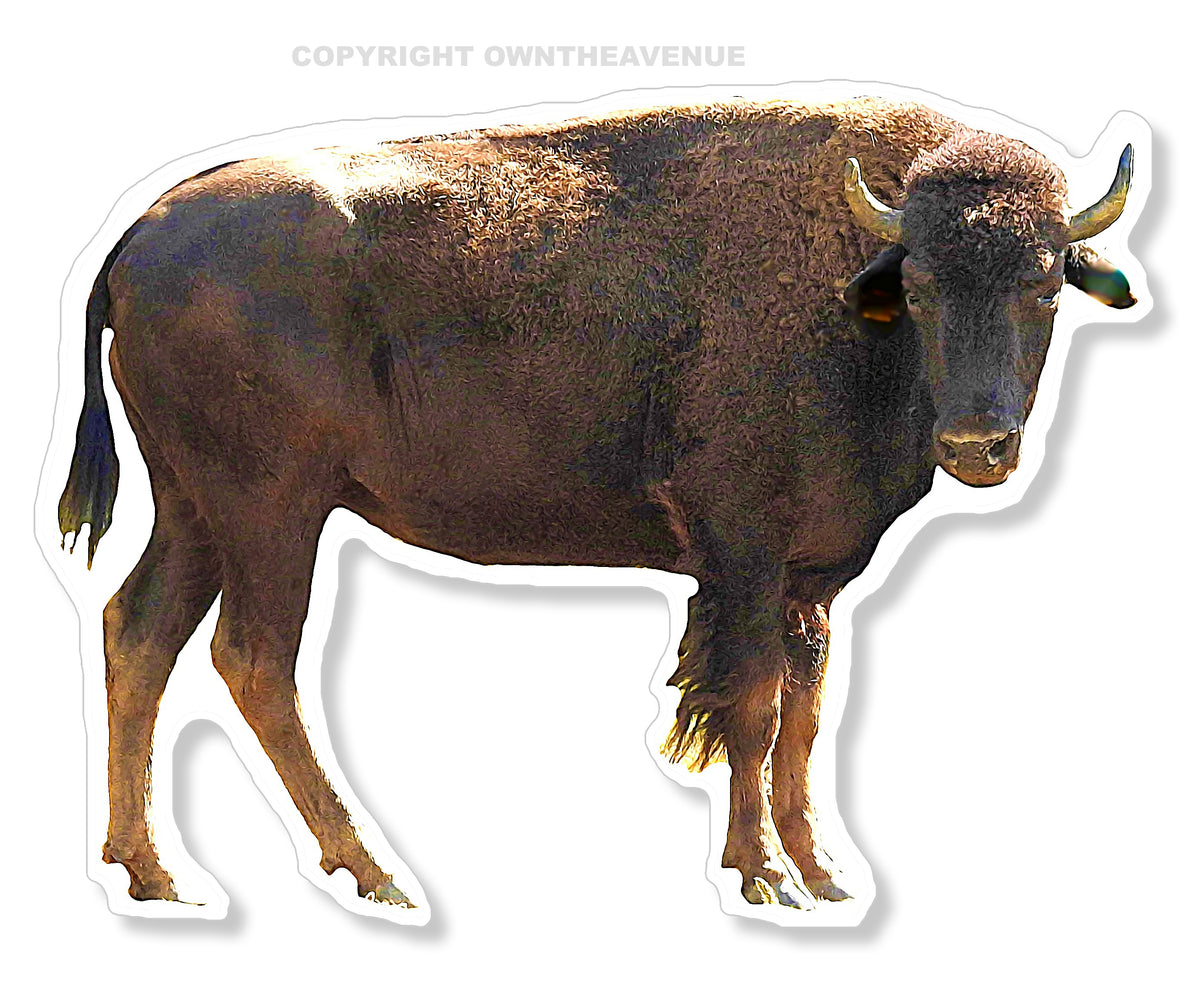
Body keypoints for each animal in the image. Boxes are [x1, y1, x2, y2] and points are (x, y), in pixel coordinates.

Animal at [58, 97, 1137, 914]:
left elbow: (805, 711)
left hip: (194, 508)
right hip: (272, 511)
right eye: (916, 287)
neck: (848, 283)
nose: (976, 445)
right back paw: (376, 875)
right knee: (253, 657)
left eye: (1046, 285)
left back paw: (154, 874)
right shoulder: (744, 555)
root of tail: (140, 235)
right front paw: (766, 878)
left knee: (138, 630)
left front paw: (824, 873)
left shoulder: (812, 582)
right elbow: (751, 707)